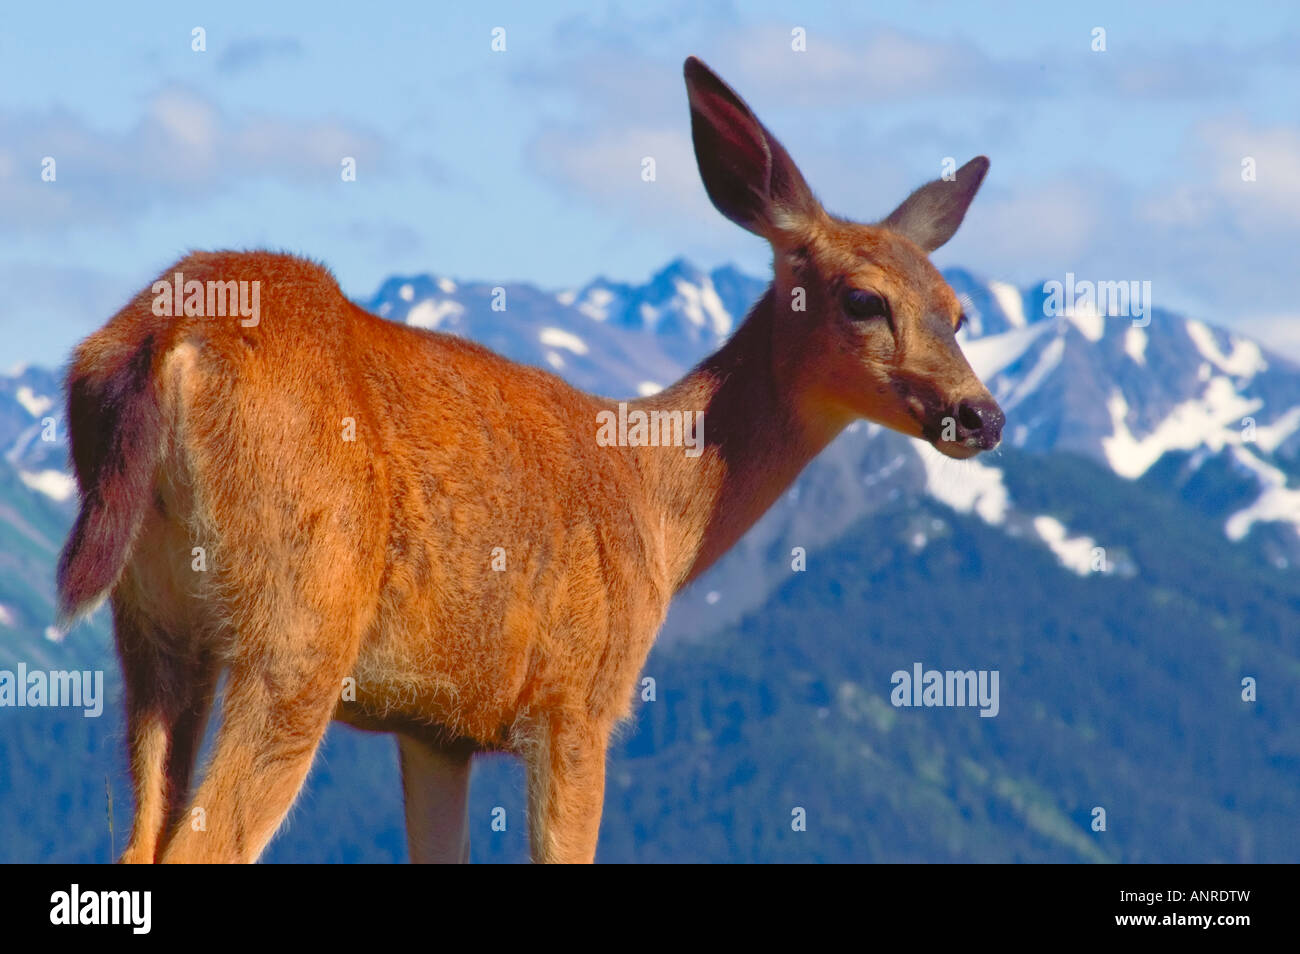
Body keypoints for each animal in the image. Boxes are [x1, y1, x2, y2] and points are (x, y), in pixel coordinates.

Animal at [56, 56, 1002, 864]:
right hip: (300, 622)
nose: (982, 415)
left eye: (957, 310)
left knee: (140, 840)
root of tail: (168, 337)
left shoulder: (436, 728)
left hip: (154, 622)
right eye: (863, 300)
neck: (660, 504)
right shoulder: (579, 700)